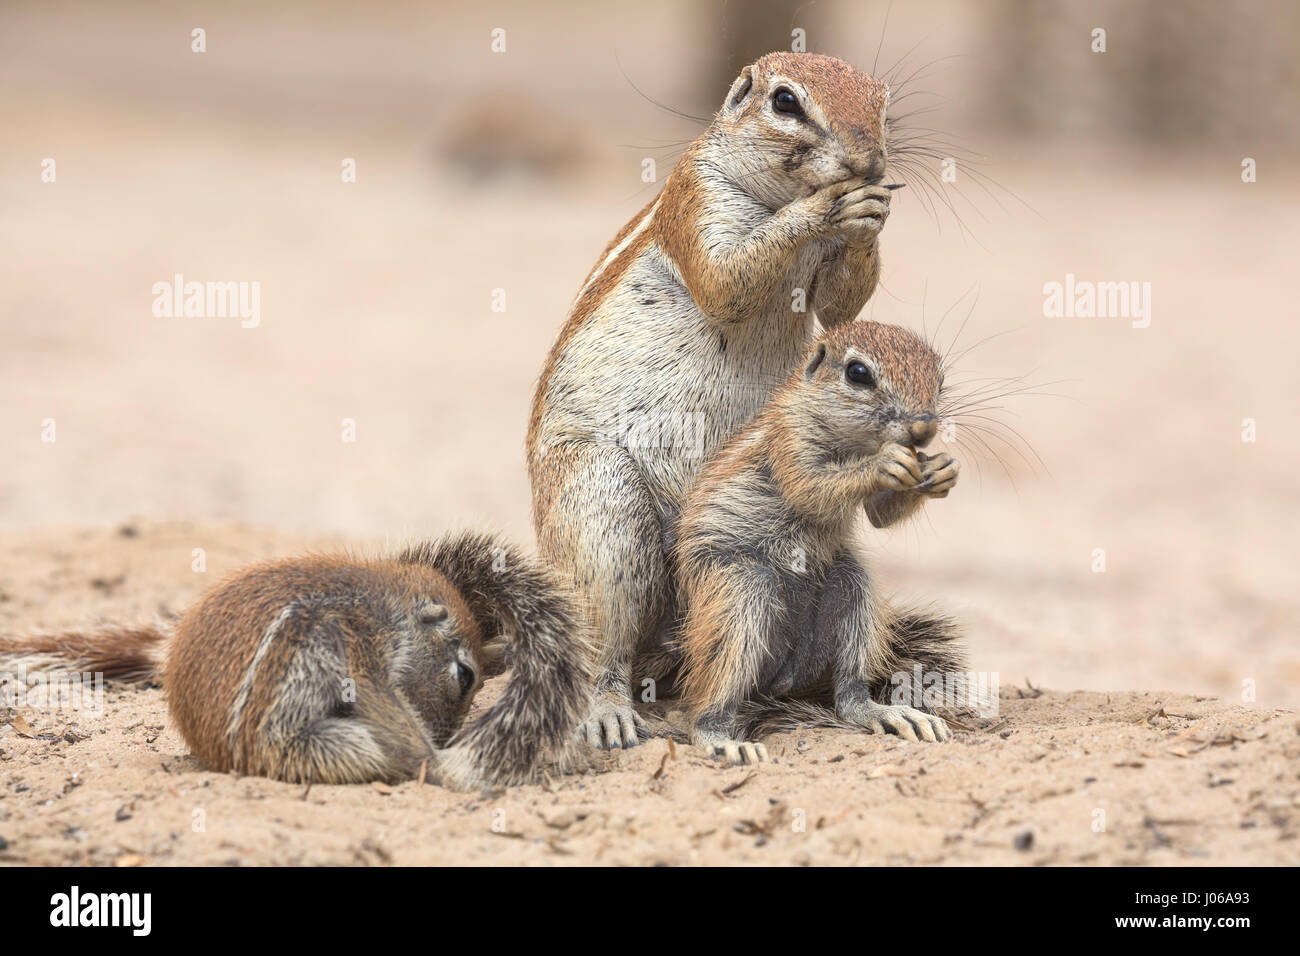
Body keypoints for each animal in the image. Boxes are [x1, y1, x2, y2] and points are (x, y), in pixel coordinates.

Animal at [0, 532, 595, 787]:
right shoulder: (359, 649)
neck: (392, 608)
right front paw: (432, 759)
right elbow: (382, 701)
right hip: (316, 741)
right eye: (465, 674)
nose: (446, 737)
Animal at [527, 52, 895, 749]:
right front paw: (825, 205)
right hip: (599, 507)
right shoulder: (696, 200)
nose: (869, 161)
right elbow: (727, 279)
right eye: (785, 102)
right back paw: (608, 711)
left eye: (881, 101)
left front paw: (870, 213)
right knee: (604, 640)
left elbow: (842, 305)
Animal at [673, 320, 966, 765]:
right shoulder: (789, 443)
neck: (852, 442)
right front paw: (881, 465)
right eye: (858, 373)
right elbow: (810, 488)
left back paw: (890, 713)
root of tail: (784, 680)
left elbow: (880, 516)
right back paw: (720, 737)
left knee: (848, 694)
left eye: (940, 378)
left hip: (852, 587)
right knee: (706, 698)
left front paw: (942, 470)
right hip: (737, 591)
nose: (923, 429)